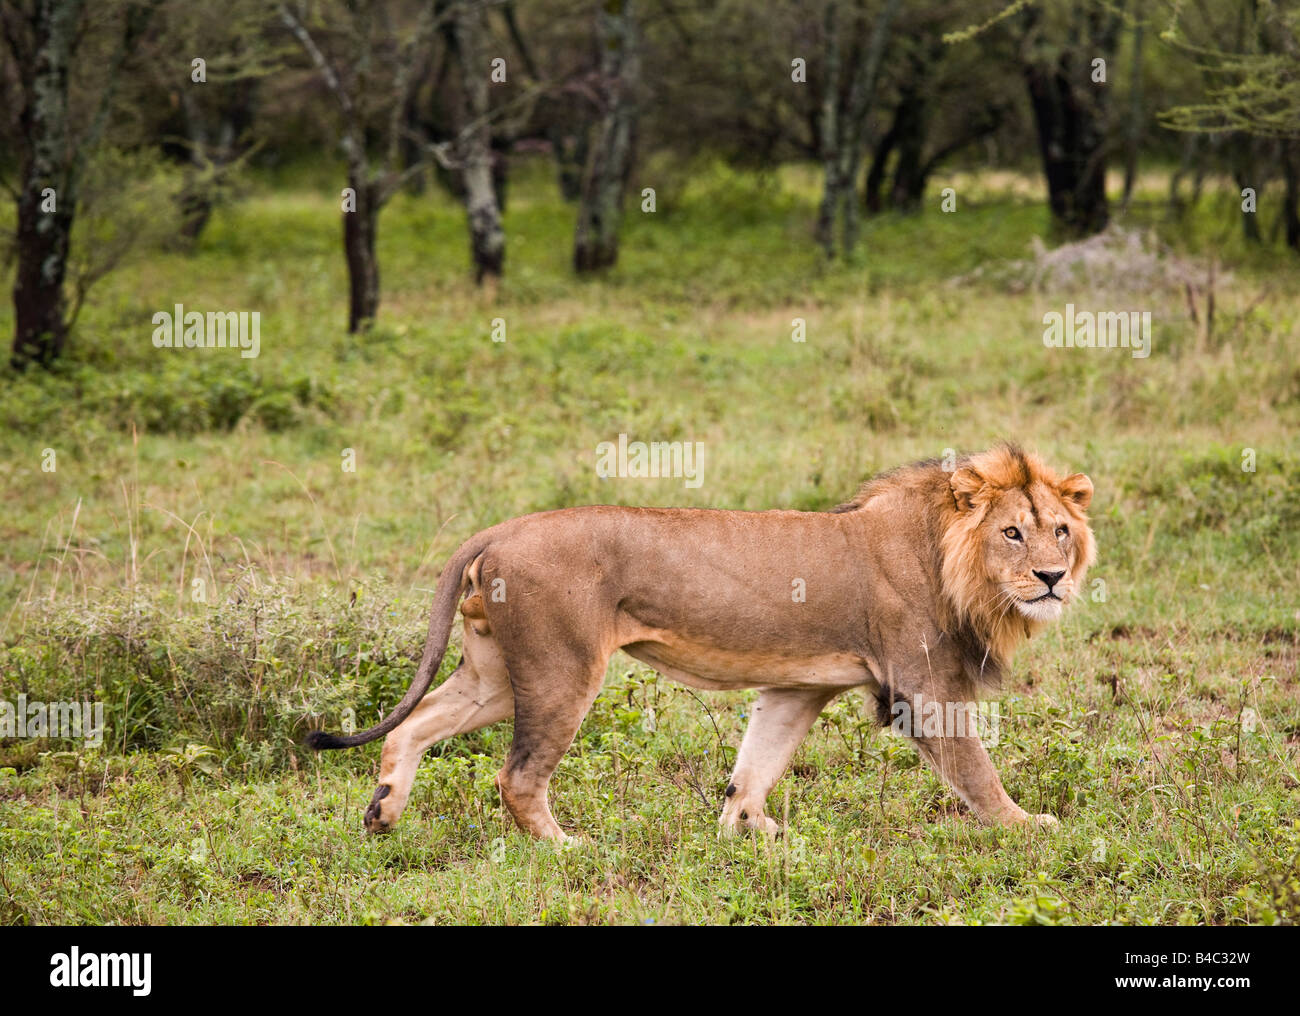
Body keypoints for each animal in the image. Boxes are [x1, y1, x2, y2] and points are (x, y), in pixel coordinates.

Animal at [306, 443, 1095, 841]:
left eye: (1060, 530)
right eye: (1012, 532)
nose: (1052, 577)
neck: (949, 559)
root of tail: (500, 528)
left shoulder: (797, 686)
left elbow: (757, 763)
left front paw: (748, 828)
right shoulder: (922, 688)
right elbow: (976, 771)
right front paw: (1029, 826)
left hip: (495, 674)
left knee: (412, 724)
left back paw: (382, 813)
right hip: (562, 669)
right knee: (517, 777)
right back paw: (566, 847)